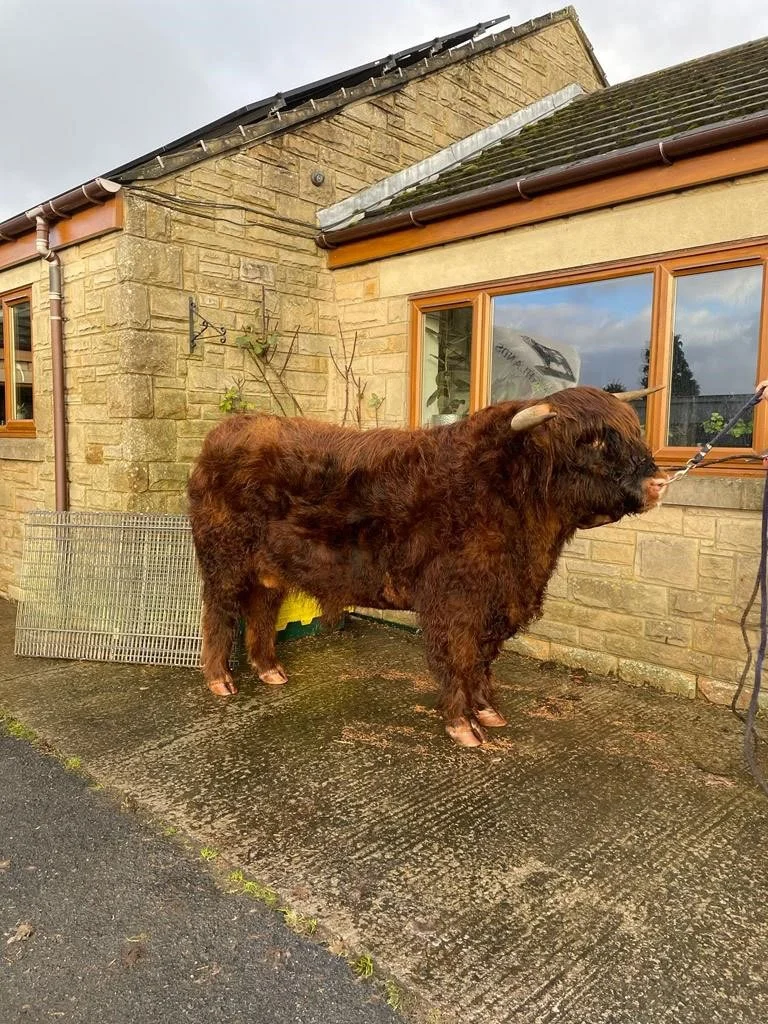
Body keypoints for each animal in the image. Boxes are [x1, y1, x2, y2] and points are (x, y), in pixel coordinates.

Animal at [187, 386, 668, 747]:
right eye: (592, 440)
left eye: (632, 431)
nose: (658, 482)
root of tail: (224, 433)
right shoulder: (455, 599)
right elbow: (459, 655)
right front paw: (462, 724)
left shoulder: (498, 600)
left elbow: (483, 658)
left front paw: (487, 711)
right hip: (225, 559)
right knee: (218, 612)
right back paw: (220, 679)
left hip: (268, 569)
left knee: (261, 610)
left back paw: (270, 671)